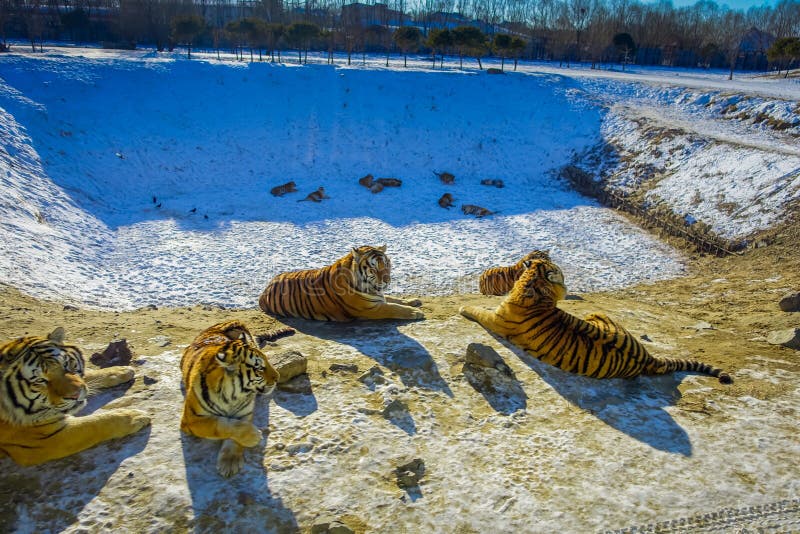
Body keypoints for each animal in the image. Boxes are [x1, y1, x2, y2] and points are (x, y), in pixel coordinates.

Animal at [0, 328, 150, 466]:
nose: (76, 394)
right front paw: (134, 416)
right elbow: (94, 424)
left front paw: (121, 370)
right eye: (40, 380)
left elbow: (88, 375)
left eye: (66, 365)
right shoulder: (45, 440)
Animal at [180, 320, 281, 477]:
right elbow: (222, 424)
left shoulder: (244, 413)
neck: (233, 395)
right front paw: (254, 436)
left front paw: (230, 462)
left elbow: (234, 431)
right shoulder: (191, 419)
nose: (278, 378)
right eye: (260, 368)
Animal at [258, 245, 424, 322]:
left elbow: (394, 299)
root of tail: (264, 291)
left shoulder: (379, 296)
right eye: (373, 268)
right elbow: (394, 308)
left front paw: (413, 301)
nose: (387, 281)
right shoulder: (370, 309)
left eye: (387, 264)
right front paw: (415, 313)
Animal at [460, 258, 733, 383]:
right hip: (598, 316)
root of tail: (648, 358)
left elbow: (478, 309)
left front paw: (464, 307)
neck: (534, 288)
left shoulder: (496, 319)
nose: (567, 283)